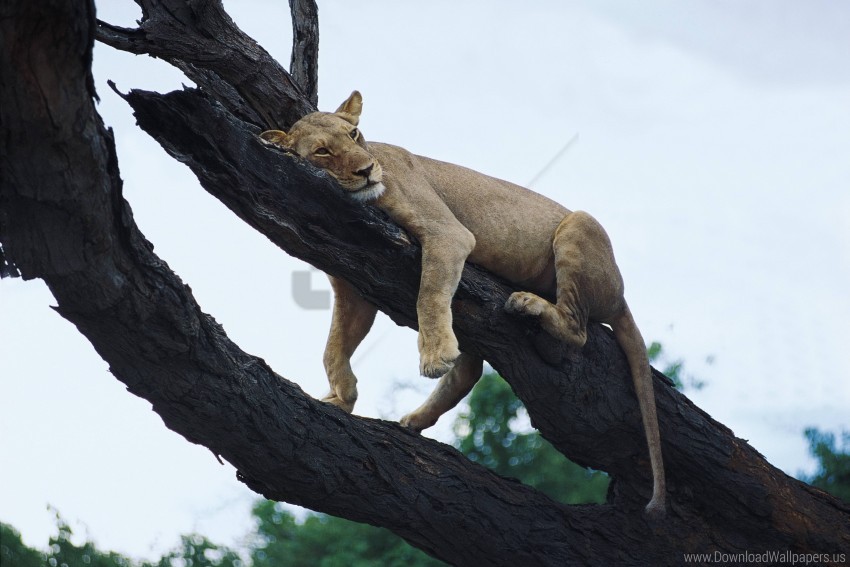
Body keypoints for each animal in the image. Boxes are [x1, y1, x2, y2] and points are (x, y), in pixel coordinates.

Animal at [260, 91, 666, 517]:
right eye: (322, 151)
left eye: (354, 134)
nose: (367, 170)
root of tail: (621, 294)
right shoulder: (352, 290)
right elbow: (333, 345)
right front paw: (343, 396)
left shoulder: (447, 233)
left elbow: (429, 293)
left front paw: (433, 355)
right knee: (470, 370)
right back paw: (415, 419)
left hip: (579, 225)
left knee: (578, 330)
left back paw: (527, 306)